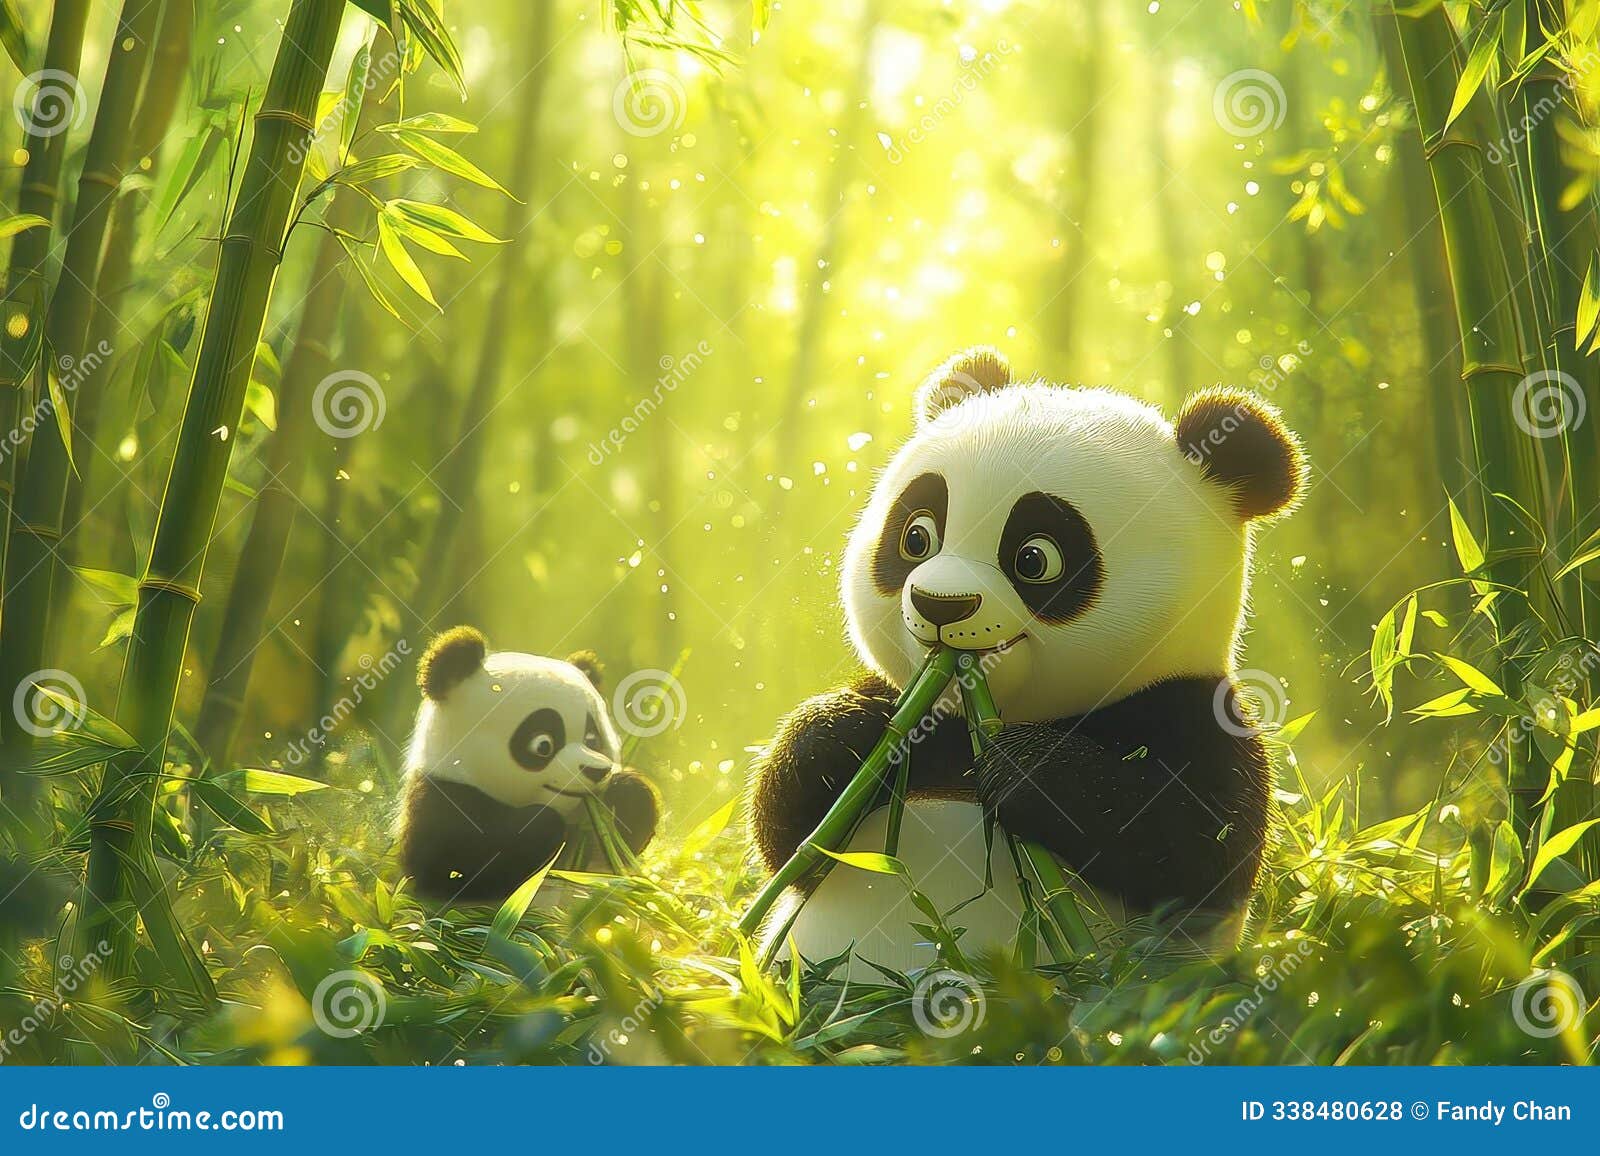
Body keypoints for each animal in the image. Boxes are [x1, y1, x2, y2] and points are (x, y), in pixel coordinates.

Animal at [396, 626, 660, 903]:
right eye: (543, 744)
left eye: (592, 739)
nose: (596, 770)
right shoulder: (442, 800)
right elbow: (456, 867)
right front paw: (541, 826)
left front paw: (628, 794)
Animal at [749, 347, 1305, 977]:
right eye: (916, 536)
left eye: (1034, 559)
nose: (941, 605)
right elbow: (791, 839)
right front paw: (848, 734)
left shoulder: (1192, 709)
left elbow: (1196, 850)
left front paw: (1024, 769)